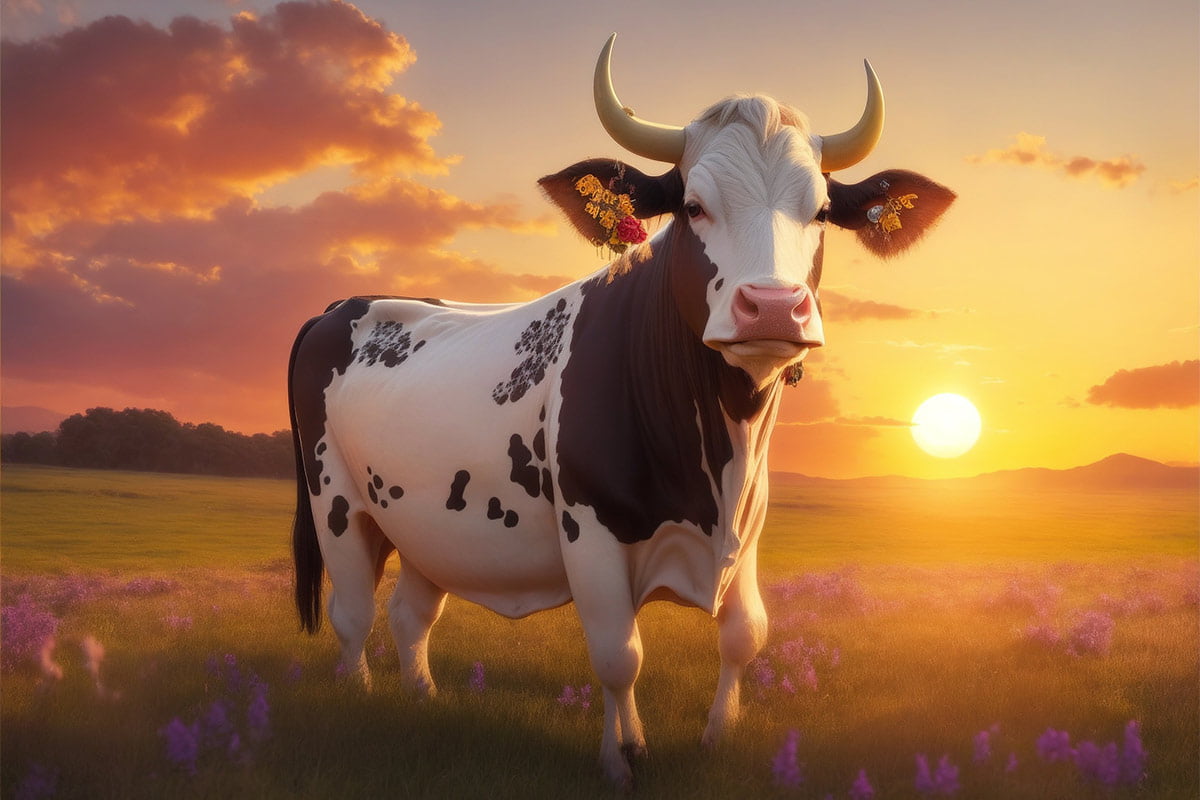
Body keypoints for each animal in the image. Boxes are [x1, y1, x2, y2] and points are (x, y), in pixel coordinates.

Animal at [289, 34, 954, 789]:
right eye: (692, 205)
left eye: (818, 212)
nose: (772, 307)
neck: (714, 465)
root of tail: (341, 305)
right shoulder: (592, 532)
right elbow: (618, 654)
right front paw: (622, 757)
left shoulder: (748, 532)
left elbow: (745, 635)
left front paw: (719, 737)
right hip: (337, 503)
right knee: (351, 613)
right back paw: (359, 698)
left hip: (427, 525)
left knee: (410, 615)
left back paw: (423, 699)